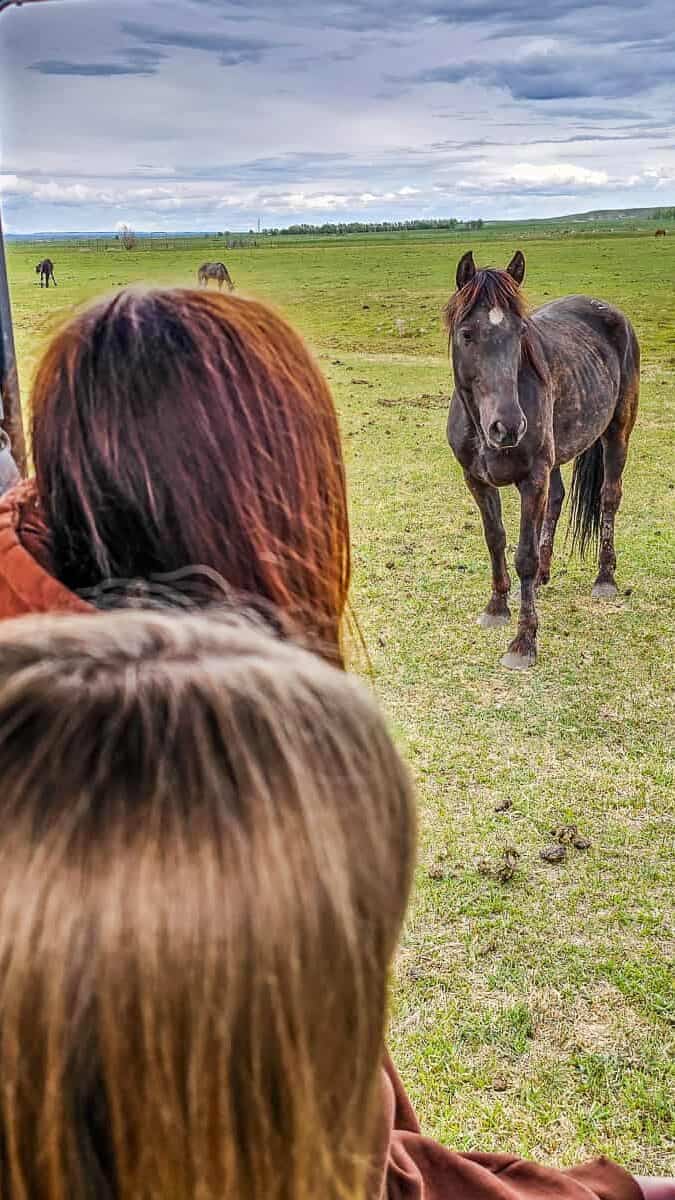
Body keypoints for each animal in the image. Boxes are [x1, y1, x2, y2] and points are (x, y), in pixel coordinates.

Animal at [444, 248, 638, 672]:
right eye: (467, 334)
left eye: (521, 334)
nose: (508, 426)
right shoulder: (476, 480)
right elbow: (495, 540)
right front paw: (497, 607)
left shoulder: (532, 478)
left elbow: (525, 556)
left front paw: (523, 642)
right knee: (559, 498)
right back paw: (545, 578)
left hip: (617, 432)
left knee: (609, 497)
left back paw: (605, 579)